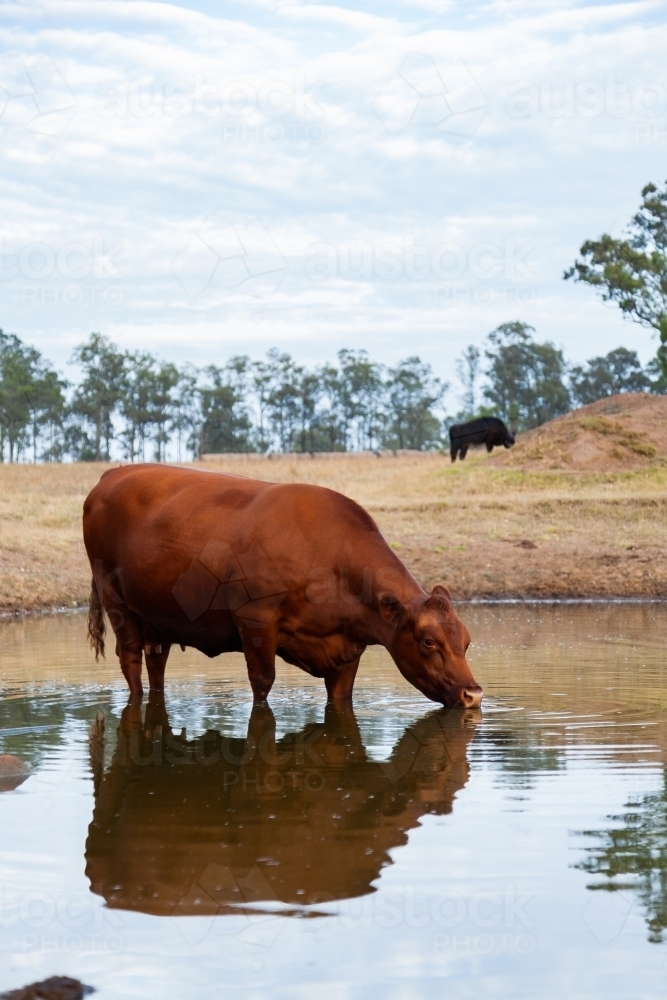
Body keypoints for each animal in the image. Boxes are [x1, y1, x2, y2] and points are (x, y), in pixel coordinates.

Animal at [83, 464, 482, 710]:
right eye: (428, 642)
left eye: (466, 641)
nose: (474, 694)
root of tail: (115, 473)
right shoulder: (255, 623)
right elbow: (262, 685)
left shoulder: (347, 650)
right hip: (116, 601)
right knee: (131, 660)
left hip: (157, 615)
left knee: (156, 659)